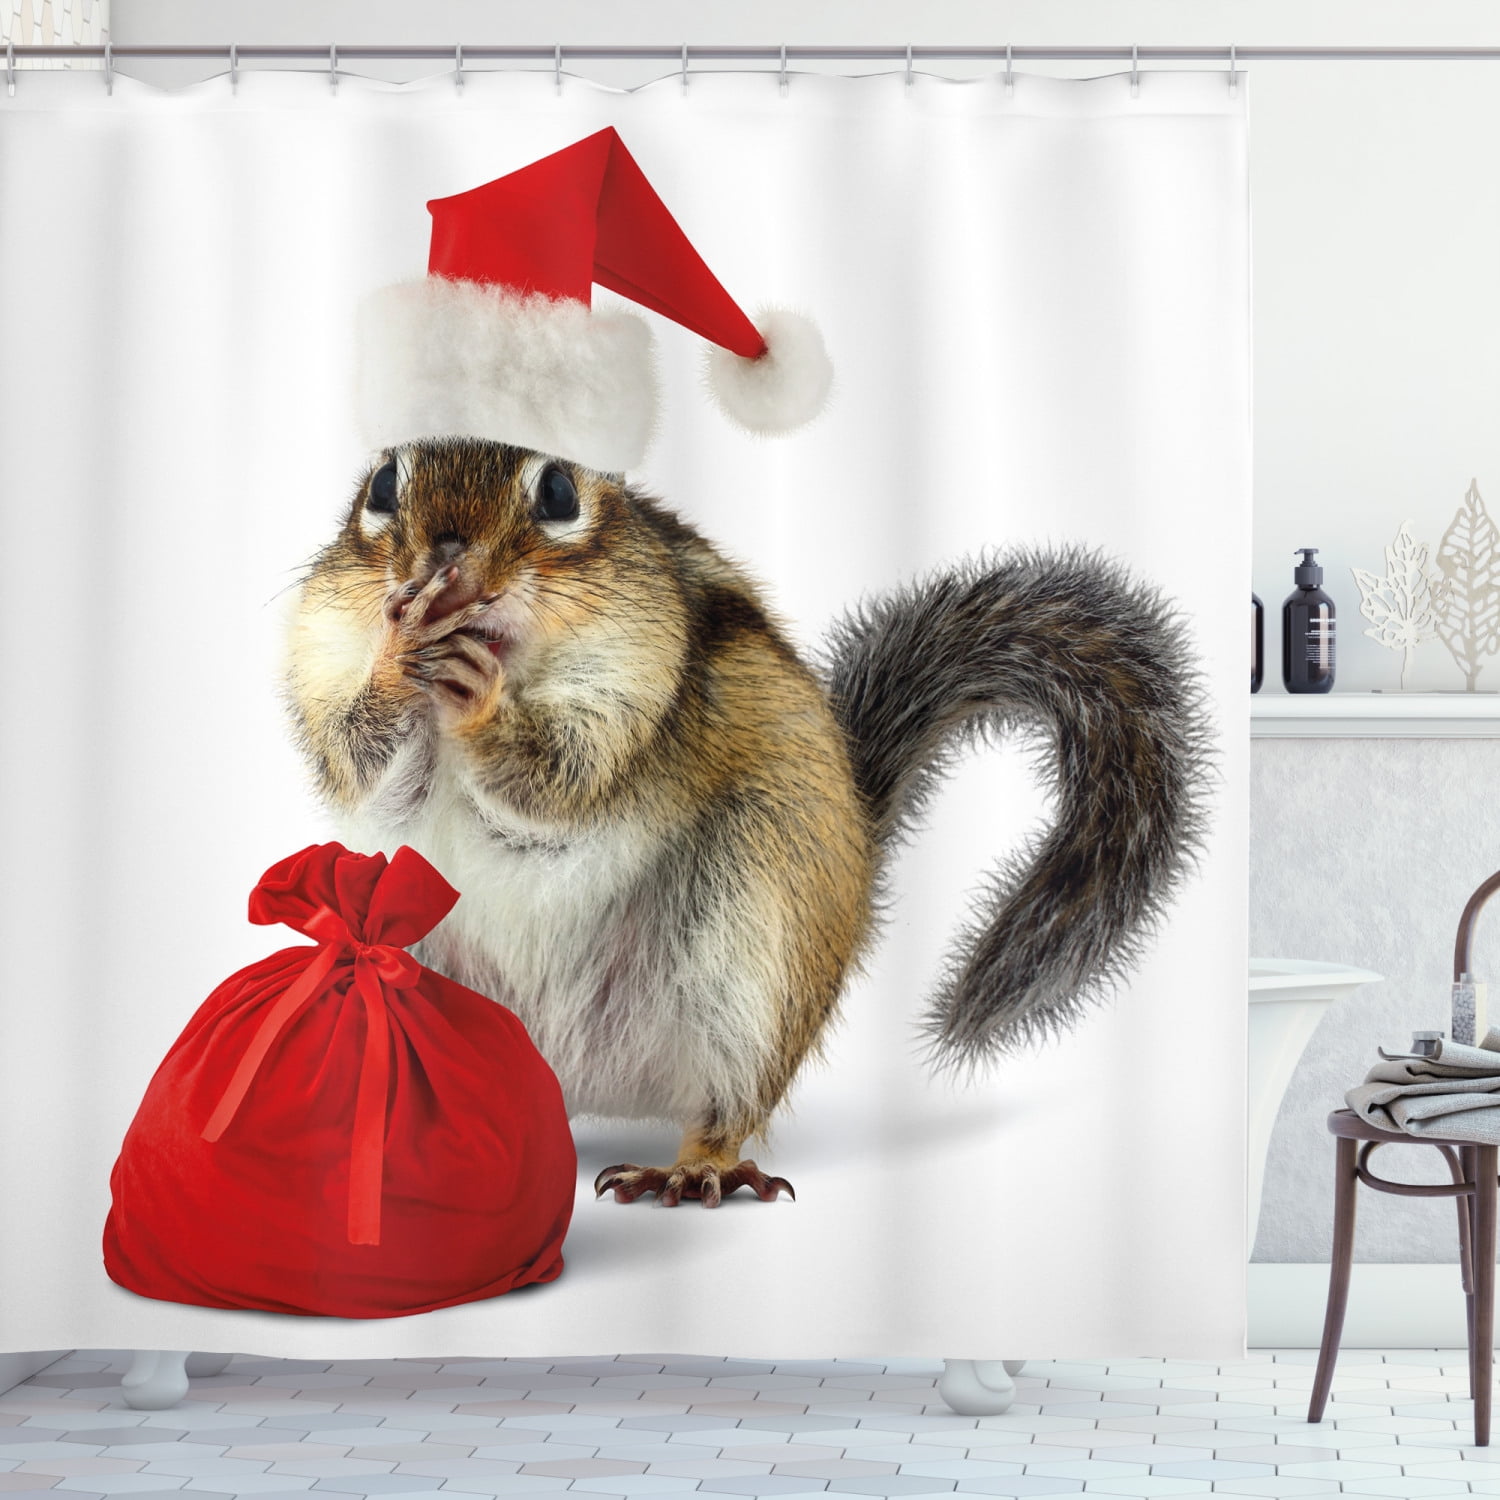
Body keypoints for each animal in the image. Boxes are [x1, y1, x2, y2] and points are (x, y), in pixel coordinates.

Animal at [283, 438, 1208, 1207]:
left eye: (556, 493)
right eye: (383, 485)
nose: (448, 566)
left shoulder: (638, 685)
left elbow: (557, 781)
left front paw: (482, 698)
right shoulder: (325, 662)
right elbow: (359, 761)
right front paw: (399, 654)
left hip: (753, 933)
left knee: (729, 1100)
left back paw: (694, 1169)